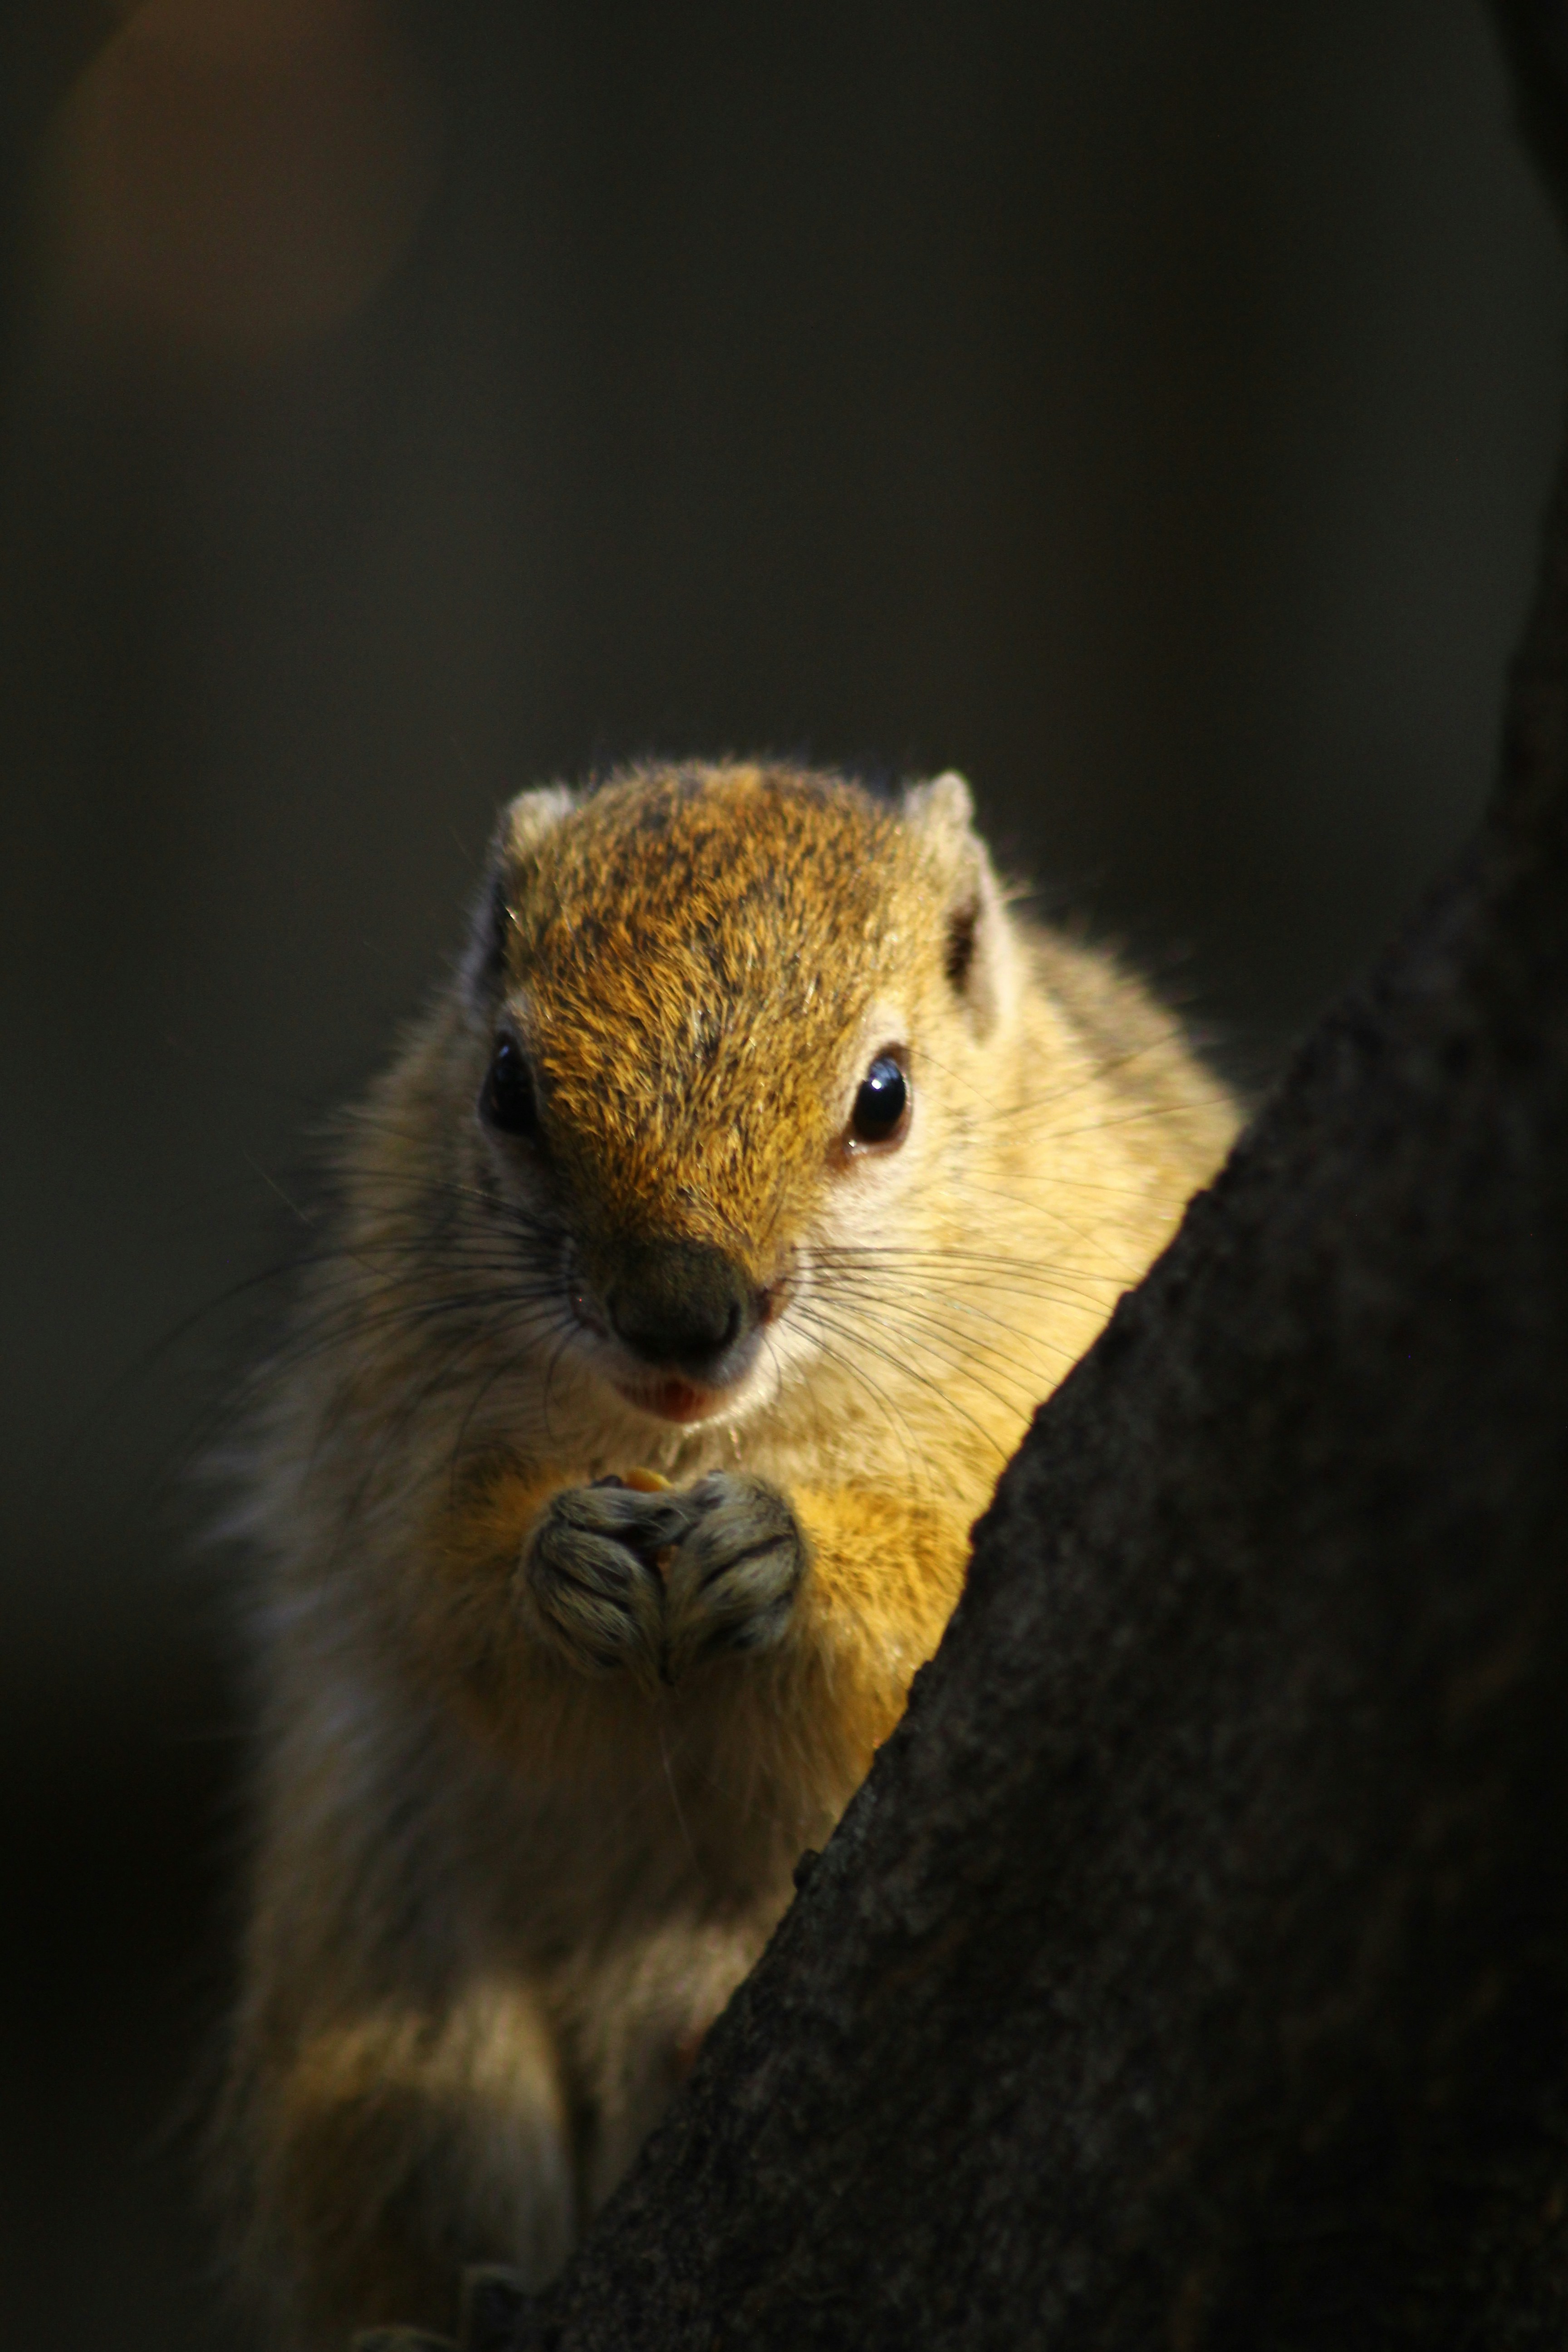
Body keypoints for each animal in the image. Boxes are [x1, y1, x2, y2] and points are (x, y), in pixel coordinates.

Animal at [217, 760, 1237, 2347]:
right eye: (507, 1087)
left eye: (884, 1099)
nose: (678, 1317)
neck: (702, 1437)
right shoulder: (388, 1444)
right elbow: (456, 1619)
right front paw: (559, 1564)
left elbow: (938, 1609)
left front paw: (784, 1555)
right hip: (403, 2025)